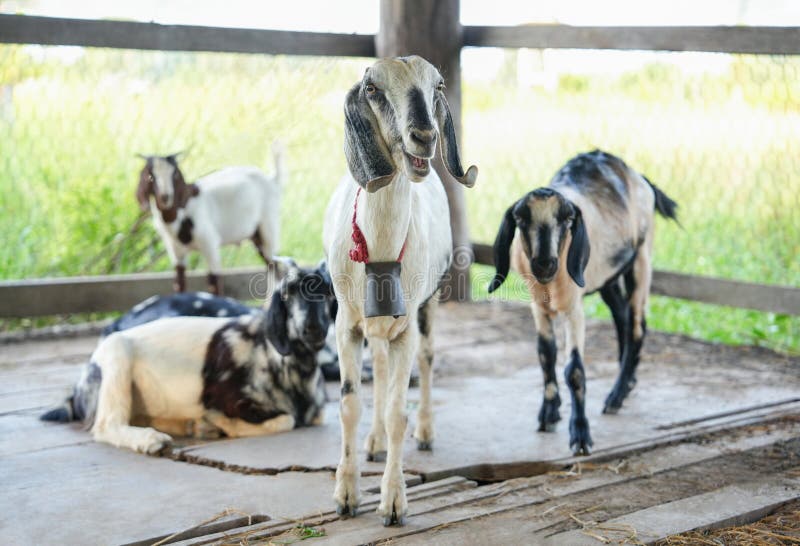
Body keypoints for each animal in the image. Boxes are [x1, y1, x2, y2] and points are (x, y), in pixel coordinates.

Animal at [40, 264, 334, 454]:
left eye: (329, 293)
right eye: (288, 293)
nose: (312, 328)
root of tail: (79, 390)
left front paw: (208, 424)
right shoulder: (225, 398)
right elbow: (286, 420)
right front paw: (222, 423)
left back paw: (191, 426)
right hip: (116, 353)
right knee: (106, 424)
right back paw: (153, 440)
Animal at [136, 141, 286, 295]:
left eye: (175, 174)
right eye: (150, 176)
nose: (165, 197)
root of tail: (272, 180)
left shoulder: (209, 243)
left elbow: (214, 282)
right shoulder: (176, 252)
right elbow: (179, 284)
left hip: (268, 227)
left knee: (275, 266)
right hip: (256, 235)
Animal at [323, 56, 477, 526]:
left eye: (438, 86)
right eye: (372, 88)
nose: (424, 138)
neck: (381, 249)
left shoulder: (405, 328)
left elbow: (397, 412)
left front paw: (393, 502)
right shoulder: (345, 325)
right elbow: (349, 405)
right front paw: (346, 495)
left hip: (428, 304)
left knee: (425, 361)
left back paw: (425, 431)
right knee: (379, 368)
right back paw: (372, 444)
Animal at [488, 150, 678, 456]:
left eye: (567, 219)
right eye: (520, 218)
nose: (544, 263)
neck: (549, 284)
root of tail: (638, 176)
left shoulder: (573, 308)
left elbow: (574, 369)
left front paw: (579, 435)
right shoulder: (538, 308)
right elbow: (546, 354)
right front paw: (548, 413)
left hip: (641, 258)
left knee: (637, 326)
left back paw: (615, 396)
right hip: (607, 275)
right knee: (622, 316)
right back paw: (626, 384)